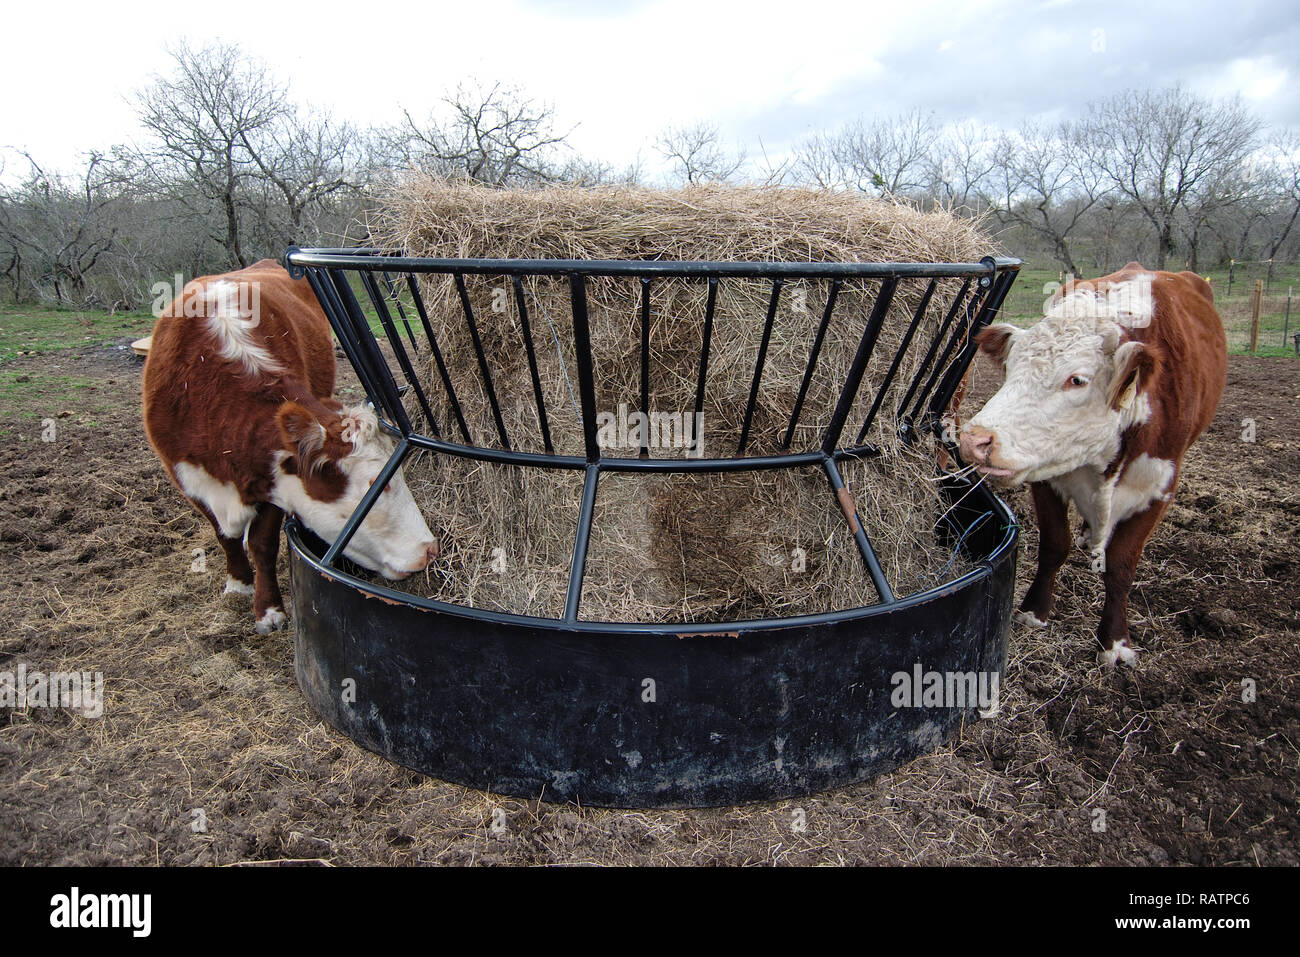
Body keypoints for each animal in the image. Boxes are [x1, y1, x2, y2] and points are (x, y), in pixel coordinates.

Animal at [143, 259, 438, 634]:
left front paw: (268, 610)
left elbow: (263, 543)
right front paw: (238, 585)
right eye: (376, 483)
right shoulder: (188, 479)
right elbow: (224, 536)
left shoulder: (274, 482)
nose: (430, 549)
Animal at [958, 263, 1226, 667]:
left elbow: (1122, 565)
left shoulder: (1159, 487)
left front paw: (1114, 643)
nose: (975, 440)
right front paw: (1033, 611)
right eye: (1010, 366)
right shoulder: (1047, 474)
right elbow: (1055, 544)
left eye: (1077, 379)